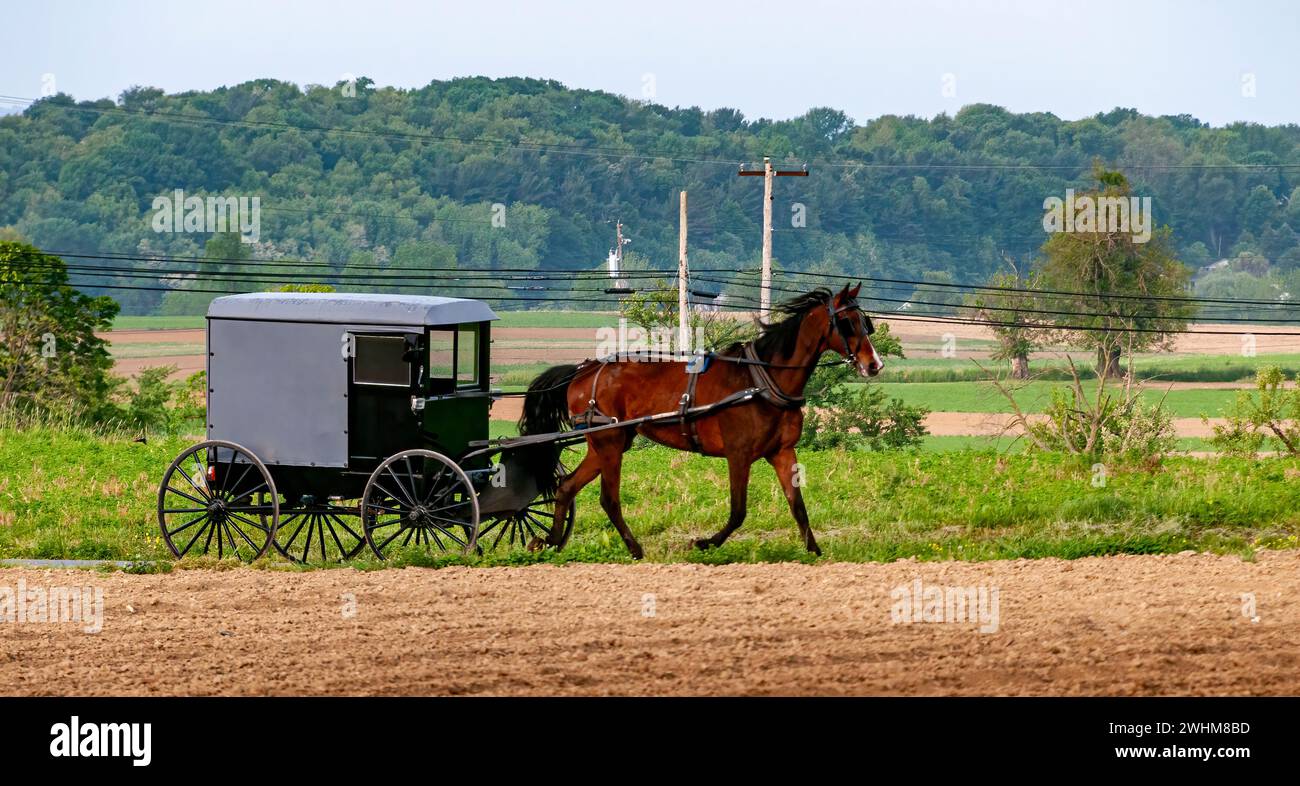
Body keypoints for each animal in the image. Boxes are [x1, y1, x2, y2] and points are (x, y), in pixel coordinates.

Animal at [516, 283, 882, 558]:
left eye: (866, 322)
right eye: (847, 322)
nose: (874, 364)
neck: (762, 380)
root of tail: (583, 370)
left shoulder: (782, 452)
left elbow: (798, 506)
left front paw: (815, 551)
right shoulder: (739, 454)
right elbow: (738, 511)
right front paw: (704, 542)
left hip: (607, 443)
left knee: (566, 487)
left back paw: (550, 541)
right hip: (609, 442)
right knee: (609, 499)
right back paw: (634, 548)